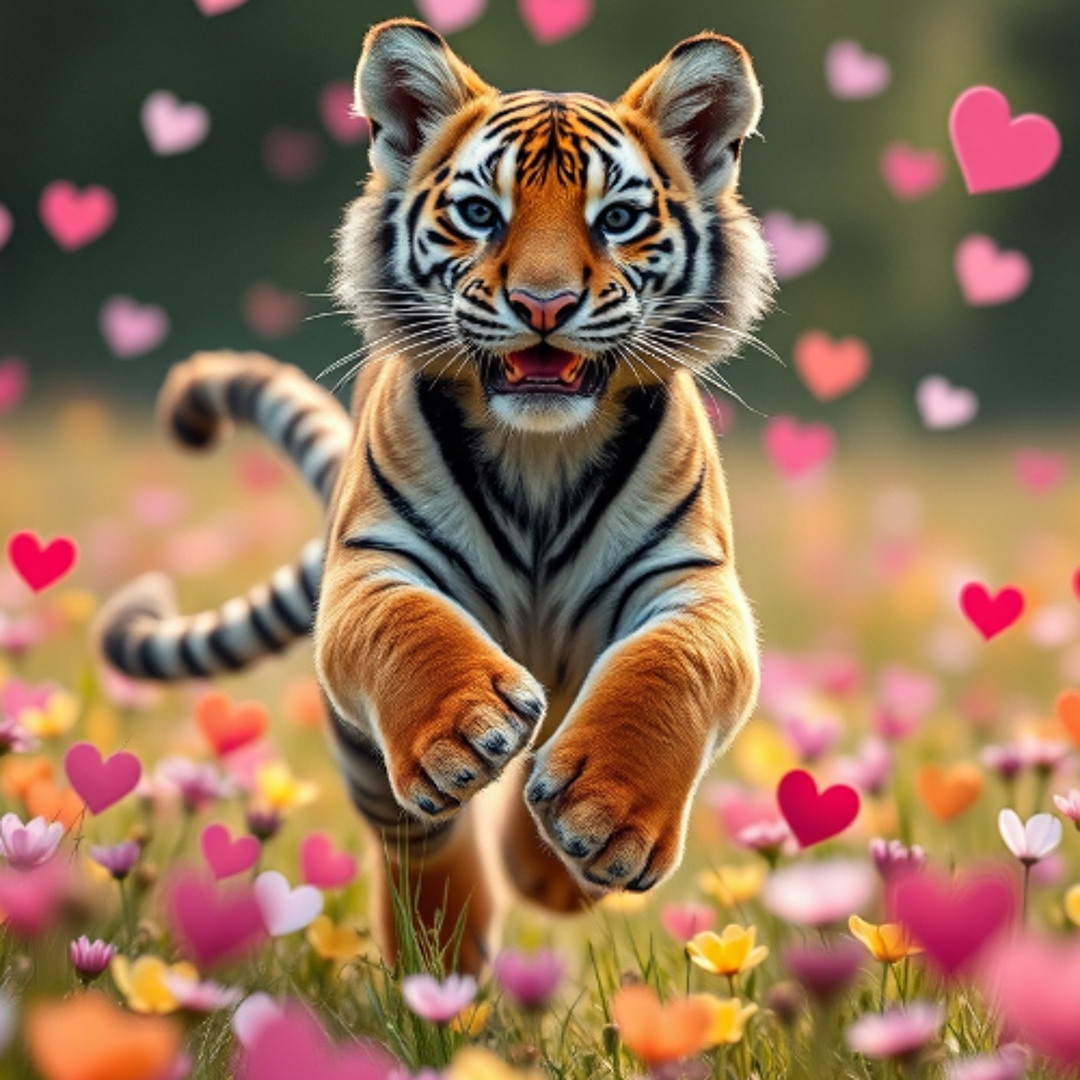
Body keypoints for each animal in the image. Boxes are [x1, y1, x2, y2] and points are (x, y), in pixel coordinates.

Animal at [96, 17, 773, 972]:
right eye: (481, 214)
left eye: (616, 219)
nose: (543, 305)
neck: (540, 452)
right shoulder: (377, 562)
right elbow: (408, 629)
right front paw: (464, 730)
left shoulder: (690, 582)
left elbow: (666, 670)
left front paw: (605, 815)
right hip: (367, 765)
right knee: (419, 847)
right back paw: (441, 974)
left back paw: (550, 866)